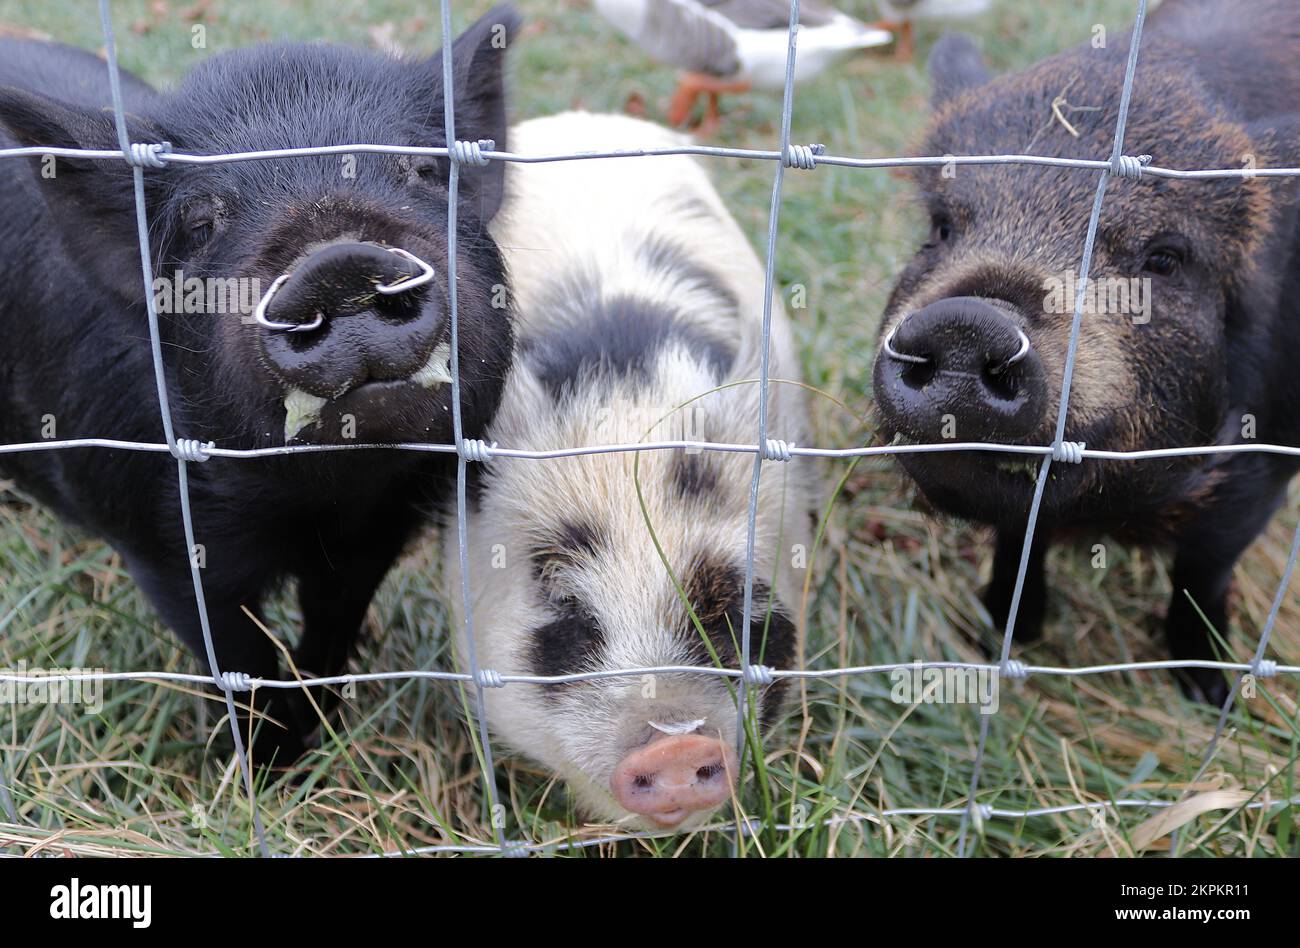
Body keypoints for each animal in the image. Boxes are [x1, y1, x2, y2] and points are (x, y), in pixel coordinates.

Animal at [0, 7, 520, 761]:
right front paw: (271, 762)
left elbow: (333, 618)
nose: (339, 261)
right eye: (200, 220)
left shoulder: (385, 524)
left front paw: (321, 729)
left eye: (424, 170)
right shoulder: (159, 539)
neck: (323, 499)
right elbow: (237, 656)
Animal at [871, 0, 1300, 703]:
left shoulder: (1263, 465)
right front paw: (996, 636)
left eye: (1165, 258)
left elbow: (1203, 571)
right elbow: (1016, 542)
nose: (967, 323)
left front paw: (1208, 694)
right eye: (941, 228)